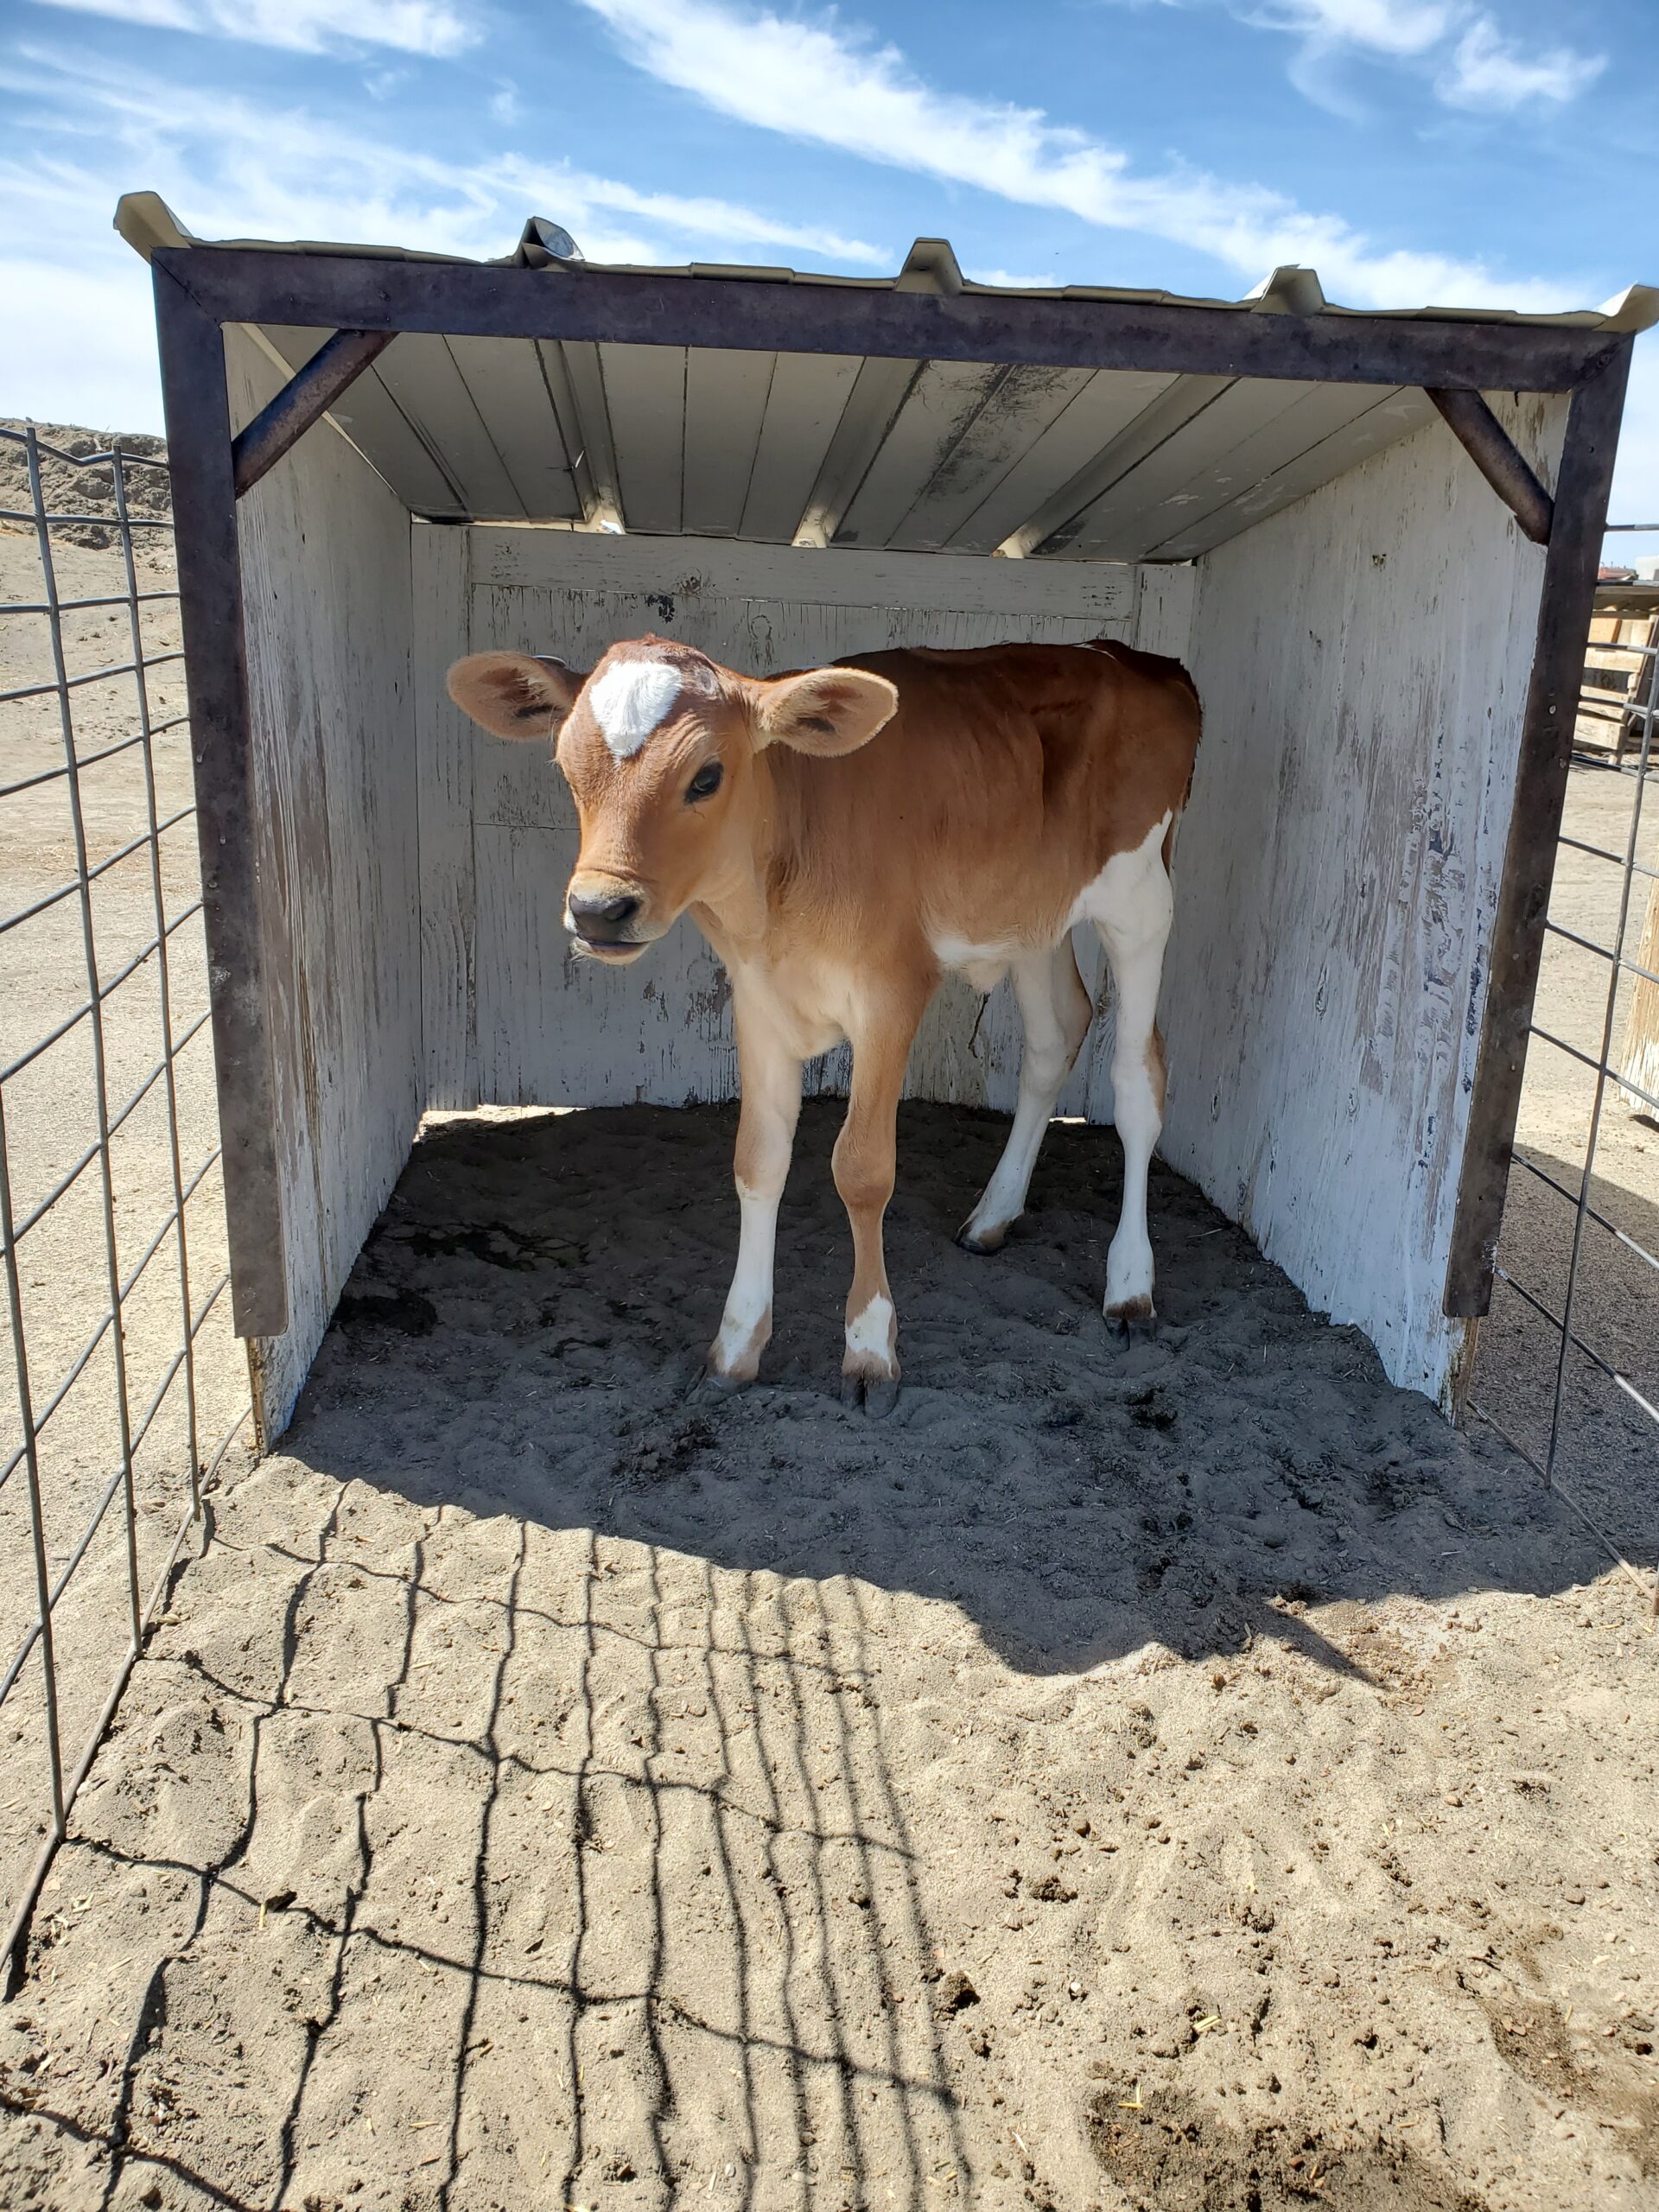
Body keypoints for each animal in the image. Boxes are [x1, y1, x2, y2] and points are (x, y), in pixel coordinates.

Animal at [447, 636, 1201, 1414]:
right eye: (567, 769)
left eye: (707, 776)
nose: (598, 910)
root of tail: (1137, 658)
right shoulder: (758, 1002)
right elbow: (757, 1162)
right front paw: (737, 1346)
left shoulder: (891, 993)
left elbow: (862, 1171)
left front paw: (869, 1352)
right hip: (1032, 919)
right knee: (1055, 1039)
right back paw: (994, 1215)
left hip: (1141, 904)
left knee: (1139, 1079)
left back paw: (1130, 1288)